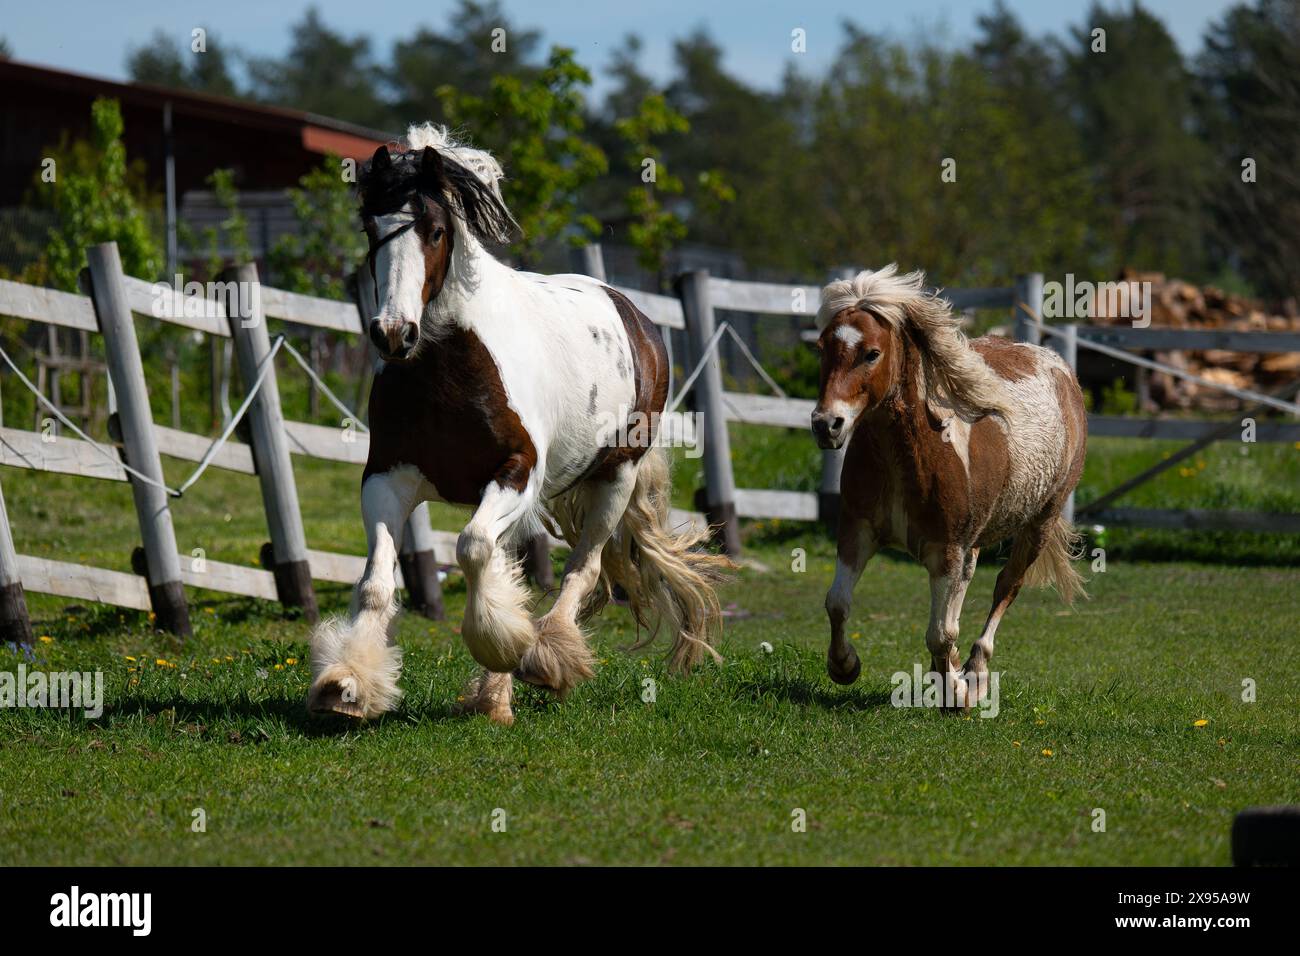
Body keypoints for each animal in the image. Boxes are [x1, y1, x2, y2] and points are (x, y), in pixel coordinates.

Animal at [307, 123, 731, 724]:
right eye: (371, 228)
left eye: (436, 231)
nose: (393, 333)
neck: (448, 365)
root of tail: (634, 316)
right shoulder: (388, 477)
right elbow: (377, 585)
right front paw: (346, 684)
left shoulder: (517, 472)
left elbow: (472, 549)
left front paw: (507, 648)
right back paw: (496, 700)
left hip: (616, 478)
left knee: (583, 567)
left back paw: (544, 660)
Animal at [810, 265, 1087, 709]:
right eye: (822, 348)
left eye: (871, 353)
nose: (826, 425)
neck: (908, 456)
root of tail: (1058, 365)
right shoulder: (858, 530)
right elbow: (837, 603)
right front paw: (844, 665)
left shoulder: (947, 549)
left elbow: (940, 634)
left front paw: (956, 692)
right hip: (973, 543)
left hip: (1038, 524)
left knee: (1005, 587)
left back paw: (975, 670)